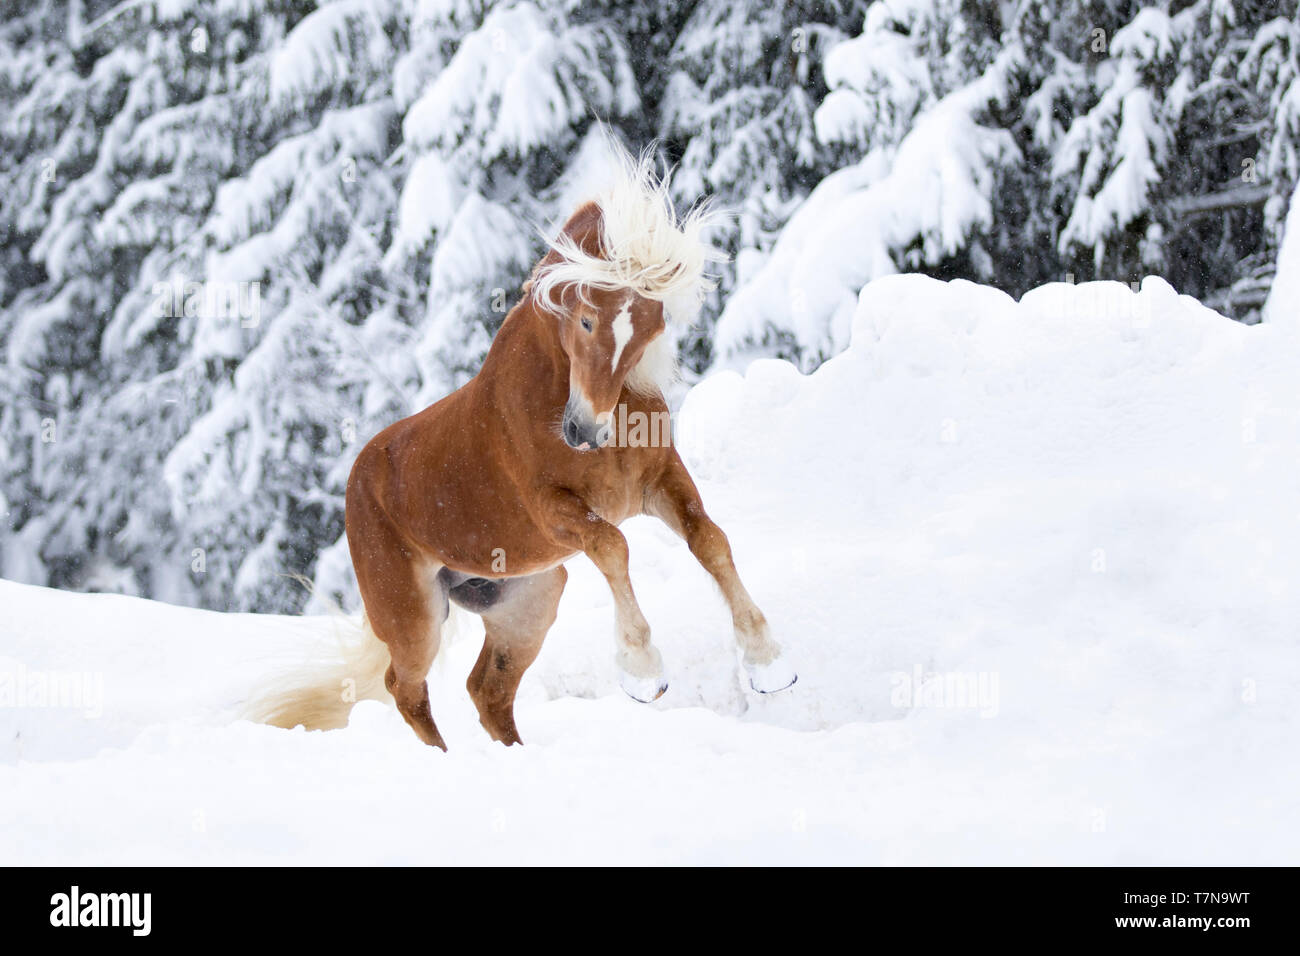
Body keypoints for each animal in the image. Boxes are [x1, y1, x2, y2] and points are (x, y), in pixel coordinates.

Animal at [247, 143, 796, 749]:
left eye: (653, 329)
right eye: (586, 320)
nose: (585, 432)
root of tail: (357, 476)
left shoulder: (659, 482)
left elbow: (710, 540)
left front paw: (769, 663)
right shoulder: (554, 511)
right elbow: (613, 546)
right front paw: (643, 672)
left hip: (529, 600)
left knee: (486, 690)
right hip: (413, 616)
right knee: (404, 687)